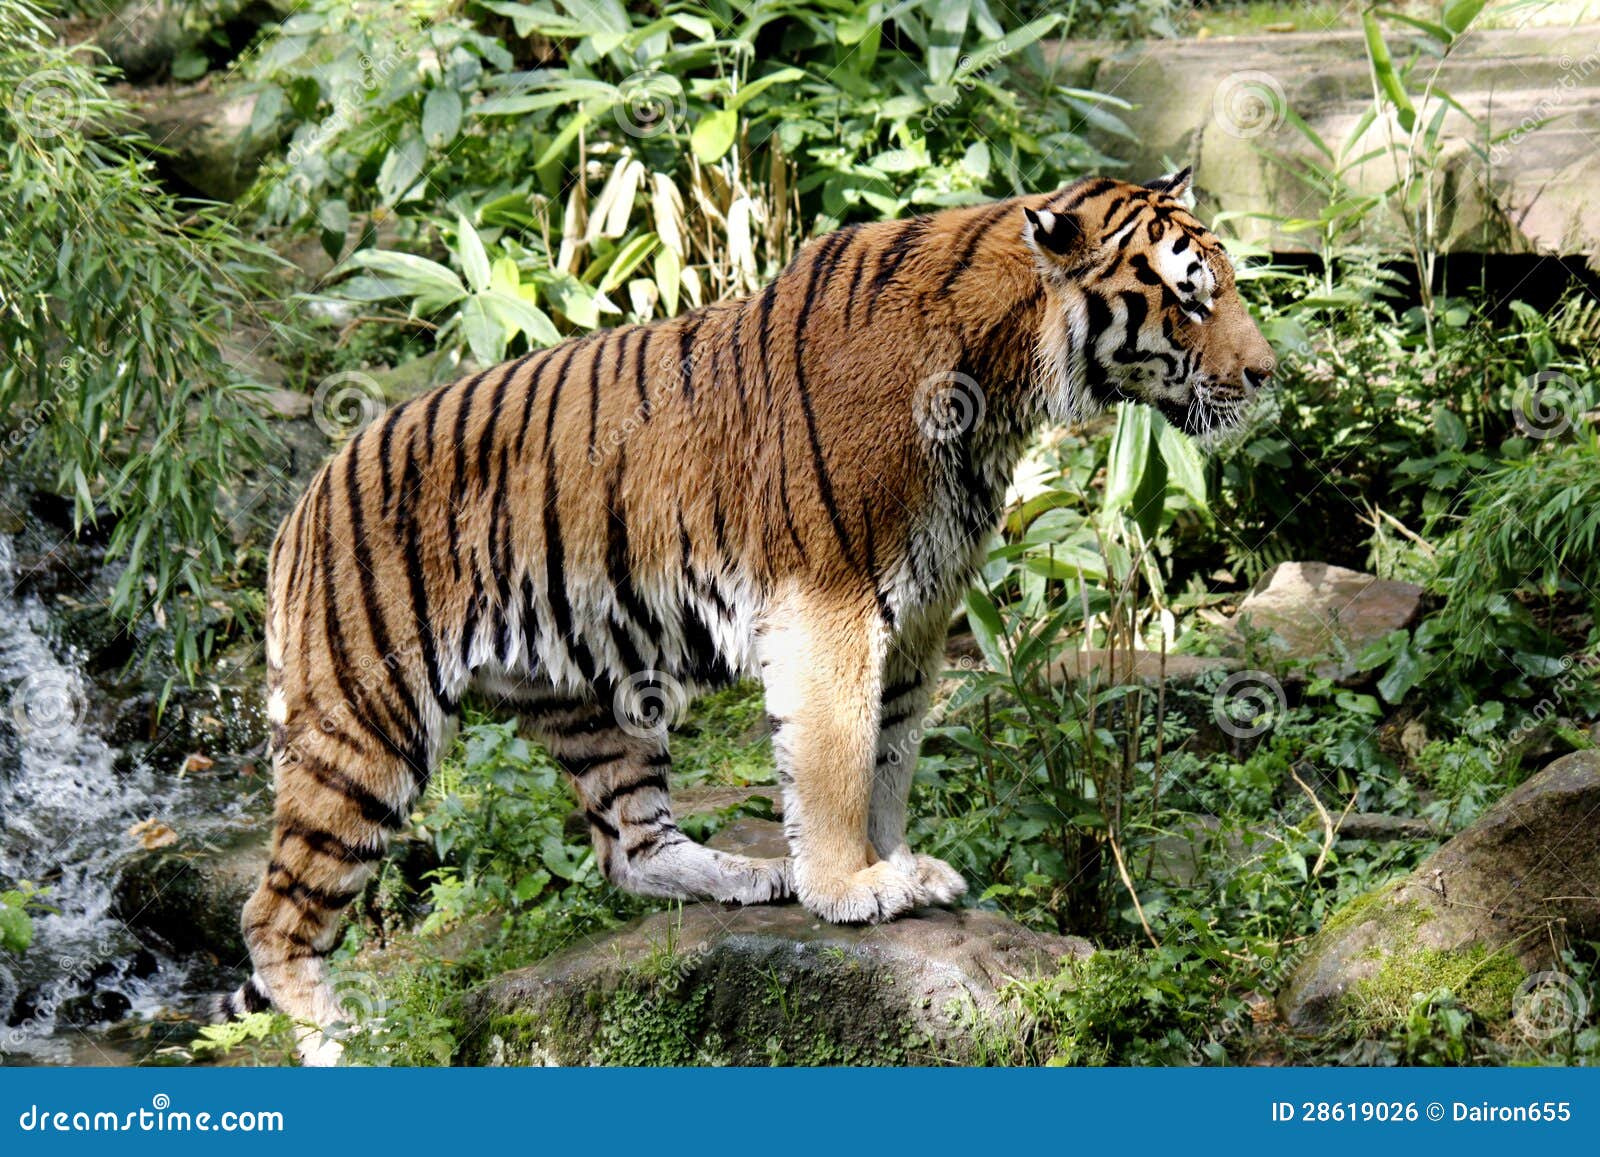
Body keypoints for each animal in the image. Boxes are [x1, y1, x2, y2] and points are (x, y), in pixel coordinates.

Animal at [222, 167, 1274, 1063]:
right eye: (1190, 297)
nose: (1269, 376)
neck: (1003, 385)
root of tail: (300, 506)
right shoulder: (833, 604)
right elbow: (837, 758)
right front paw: (852, 886)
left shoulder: (919, 614)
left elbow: (891, 755)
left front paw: (895, 865)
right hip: (367, 726)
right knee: (272, 915)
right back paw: (340, 1038)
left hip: (596, 696)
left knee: (630, 846)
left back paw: (742, 876)